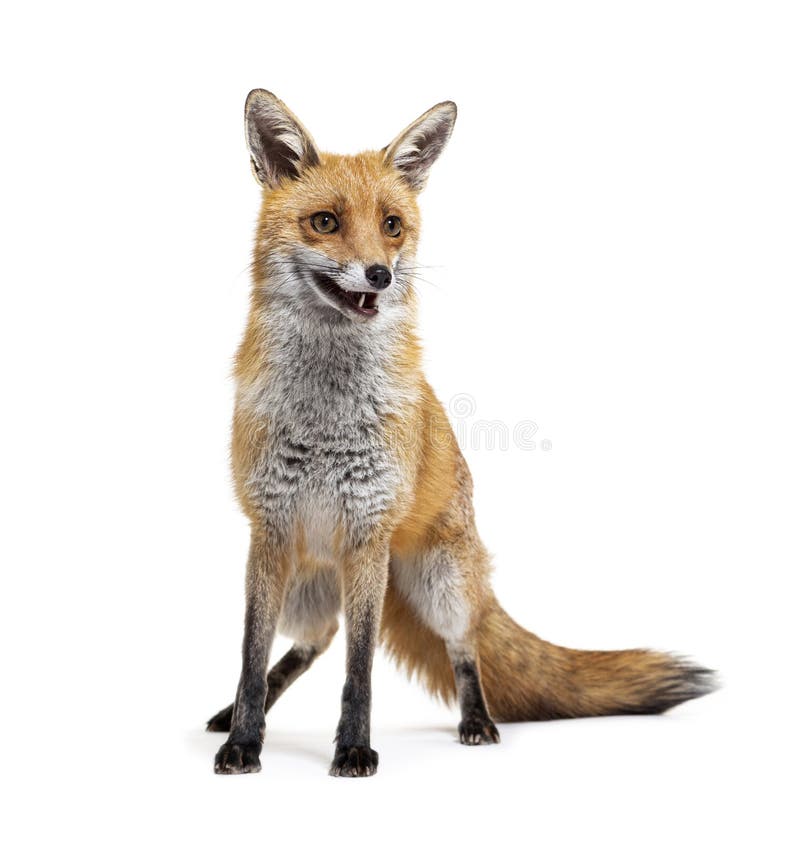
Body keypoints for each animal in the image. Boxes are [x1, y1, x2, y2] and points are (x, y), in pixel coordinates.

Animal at [206, 89, 716, 777]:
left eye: (392, 225)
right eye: (325, 222)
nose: (380, 274)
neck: (327, 416)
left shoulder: (368, 531)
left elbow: (361, 670)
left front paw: (354, 749)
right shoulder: (269, 529)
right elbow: (251, 658)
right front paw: (243, 741)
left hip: (437, 585)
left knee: (462, 643)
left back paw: (477, 721)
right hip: (305, 589)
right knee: (315, 642)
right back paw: (232, 712)